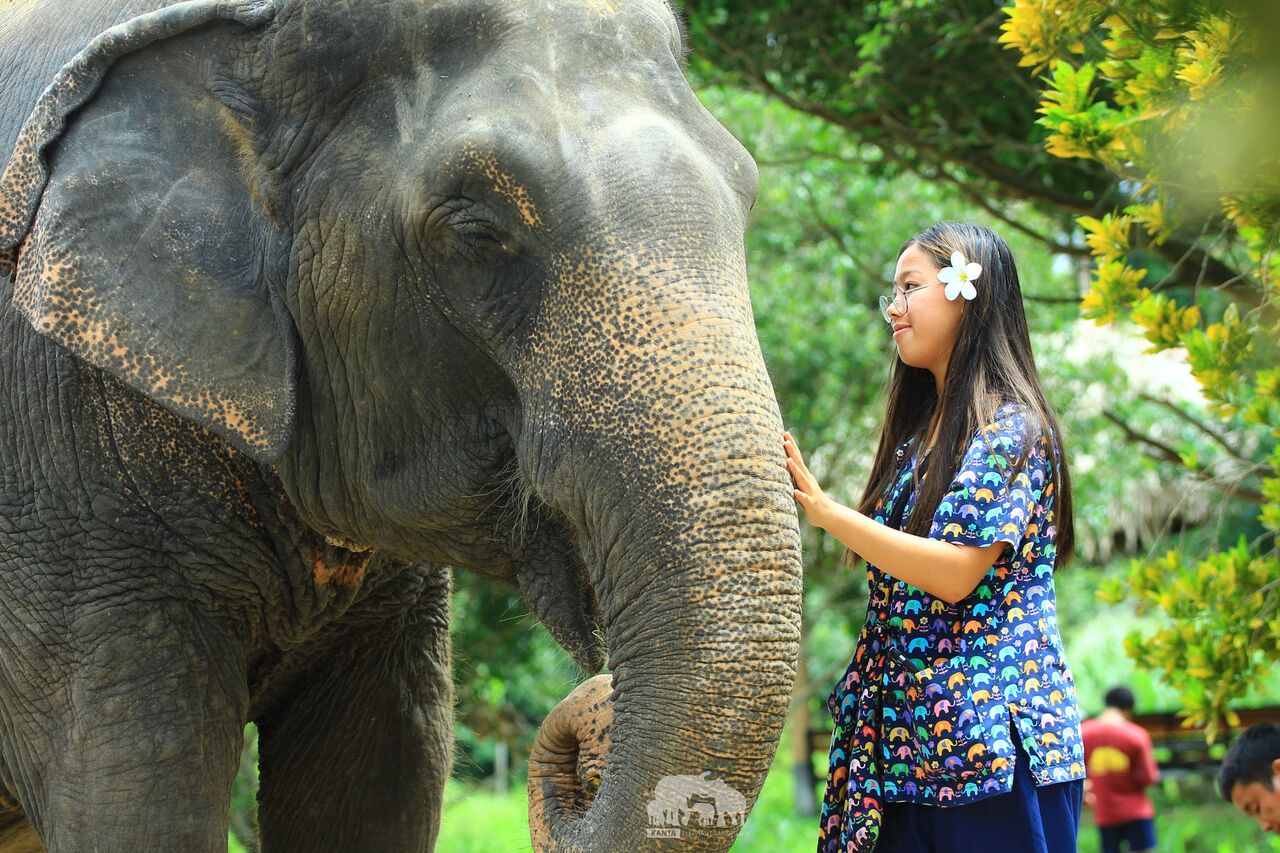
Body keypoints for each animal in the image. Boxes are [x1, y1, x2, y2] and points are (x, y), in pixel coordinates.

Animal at [0, 0, 804, 850]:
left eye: (747, 192)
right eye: (476, 233)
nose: (589, 711)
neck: (245, 30)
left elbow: (381, 783)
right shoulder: (65, 497)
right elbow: (135, 795)